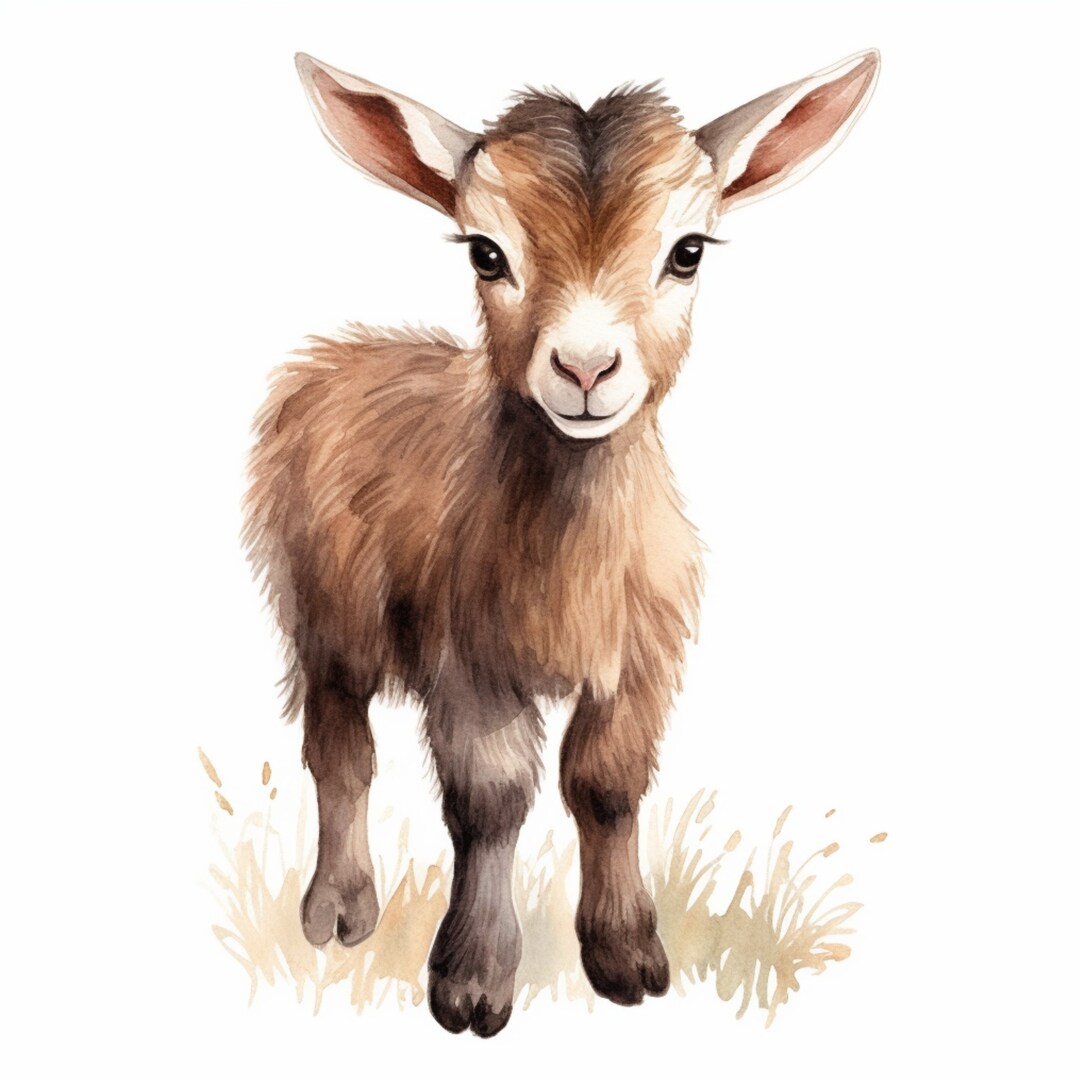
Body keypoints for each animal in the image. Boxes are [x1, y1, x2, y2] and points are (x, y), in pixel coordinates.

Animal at [244, 50, 879, 1037]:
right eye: (486, 252)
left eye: (688, 252)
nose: (585, 368)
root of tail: (343, 351)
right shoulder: (468, 658)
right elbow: (490, 799)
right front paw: (472, 979)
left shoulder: (645, 658)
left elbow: (607, 786)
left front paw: (626, 956)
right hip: (324, 612)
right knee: (341, 749)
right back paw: (339, 908)